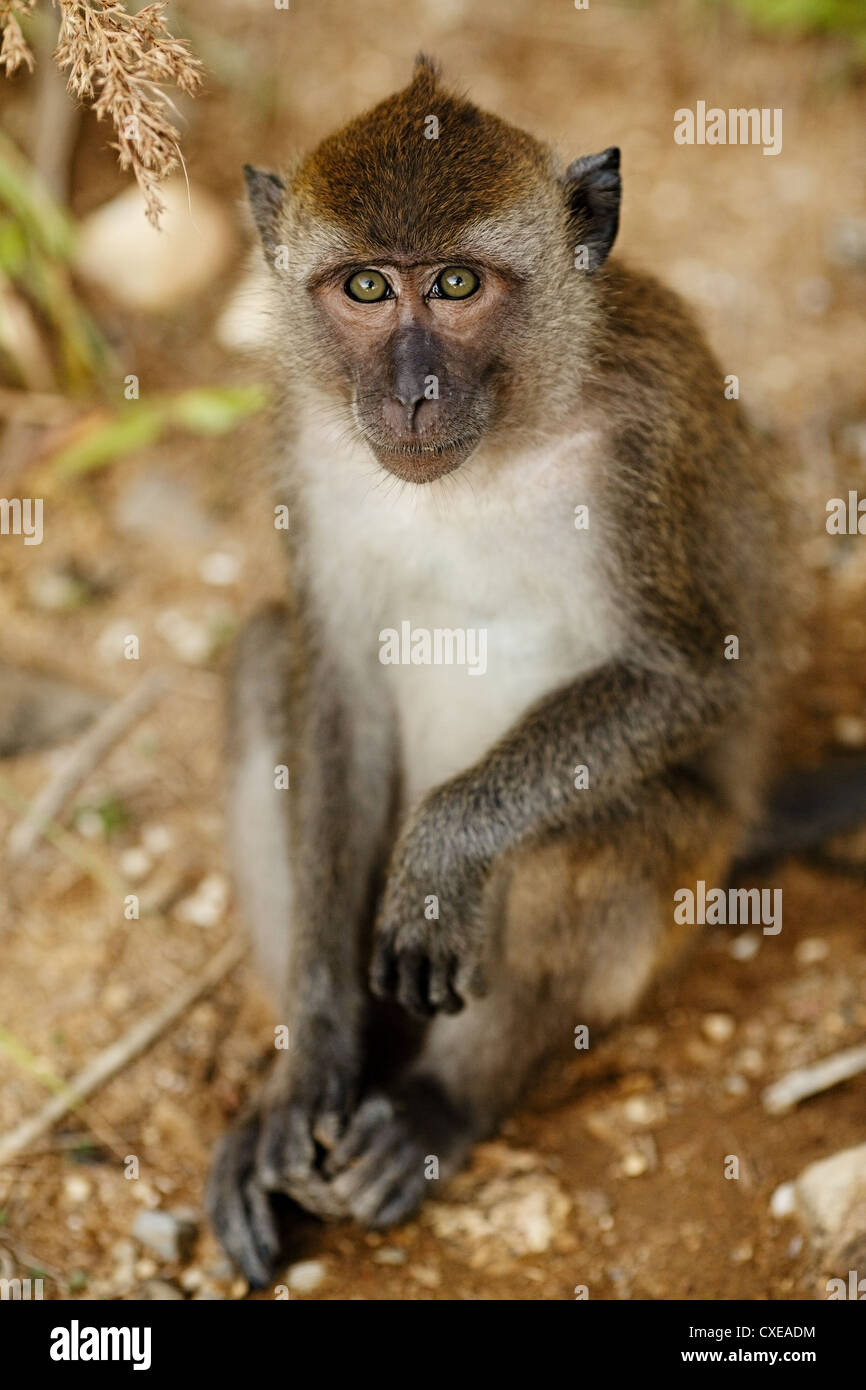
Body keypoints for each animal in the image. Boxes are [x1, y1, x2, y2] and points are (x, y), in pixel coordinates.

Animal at [205, 55, 862, 1287]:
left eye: (458, 283)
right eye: (367, 288)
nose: (411, 389)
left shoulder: (647, 437)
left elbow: (689, 678)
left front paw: (445, 848)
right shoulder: (306, 443)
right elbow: (333, 688)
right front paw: (314, 1056)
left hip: (690, 870)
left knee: (580, 844)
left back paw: (439, 1104)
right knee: (266, 665)